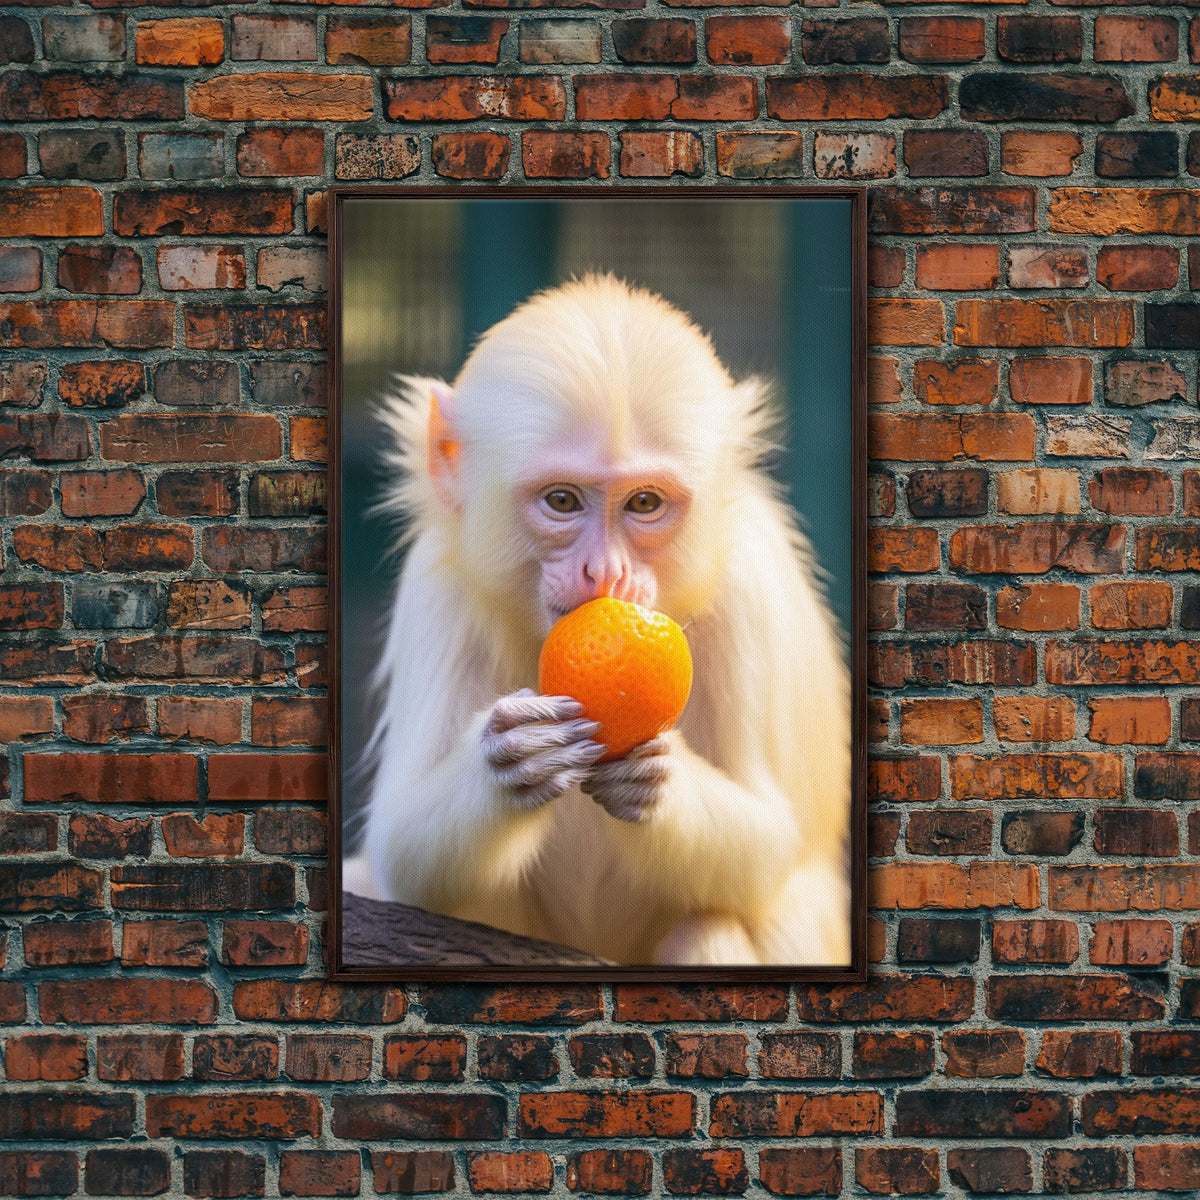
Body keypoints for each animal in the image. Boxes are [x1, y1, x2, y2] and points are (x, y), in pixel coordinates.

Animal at [343, 273, 851, 967]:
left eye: (644, 503)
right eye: (562, 500)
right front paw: (509, 764)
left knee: (711, 926)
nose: (603, 572)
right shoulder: (436, 586)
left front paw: (654, 783)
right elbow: (404, 858)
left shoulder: (747, 583)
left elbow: (770, 846)